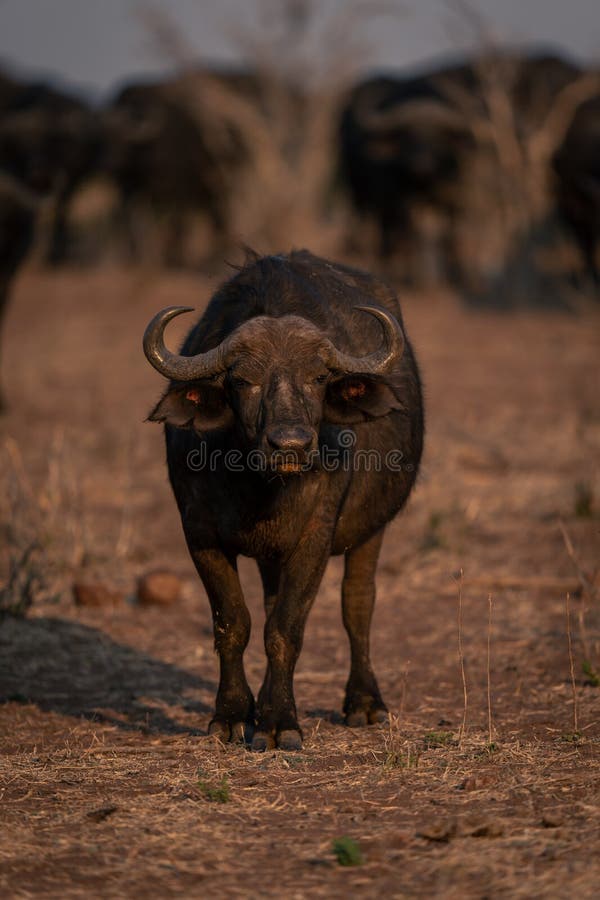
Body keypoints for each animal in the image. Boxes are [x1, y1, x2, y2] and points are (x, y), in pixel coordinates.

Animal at [143, 250, 423, 750]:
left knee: (357, 604)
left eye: (318, 377)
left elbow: (287, 629)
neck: (261, 489)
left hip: (371, 530)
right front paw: (234, 716)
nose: (290, 445)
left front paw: (280, 723)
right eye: (242, 380)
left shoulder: (316, 536)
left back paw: (364, 702)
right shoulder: (199, 533)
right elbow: (234, 623)